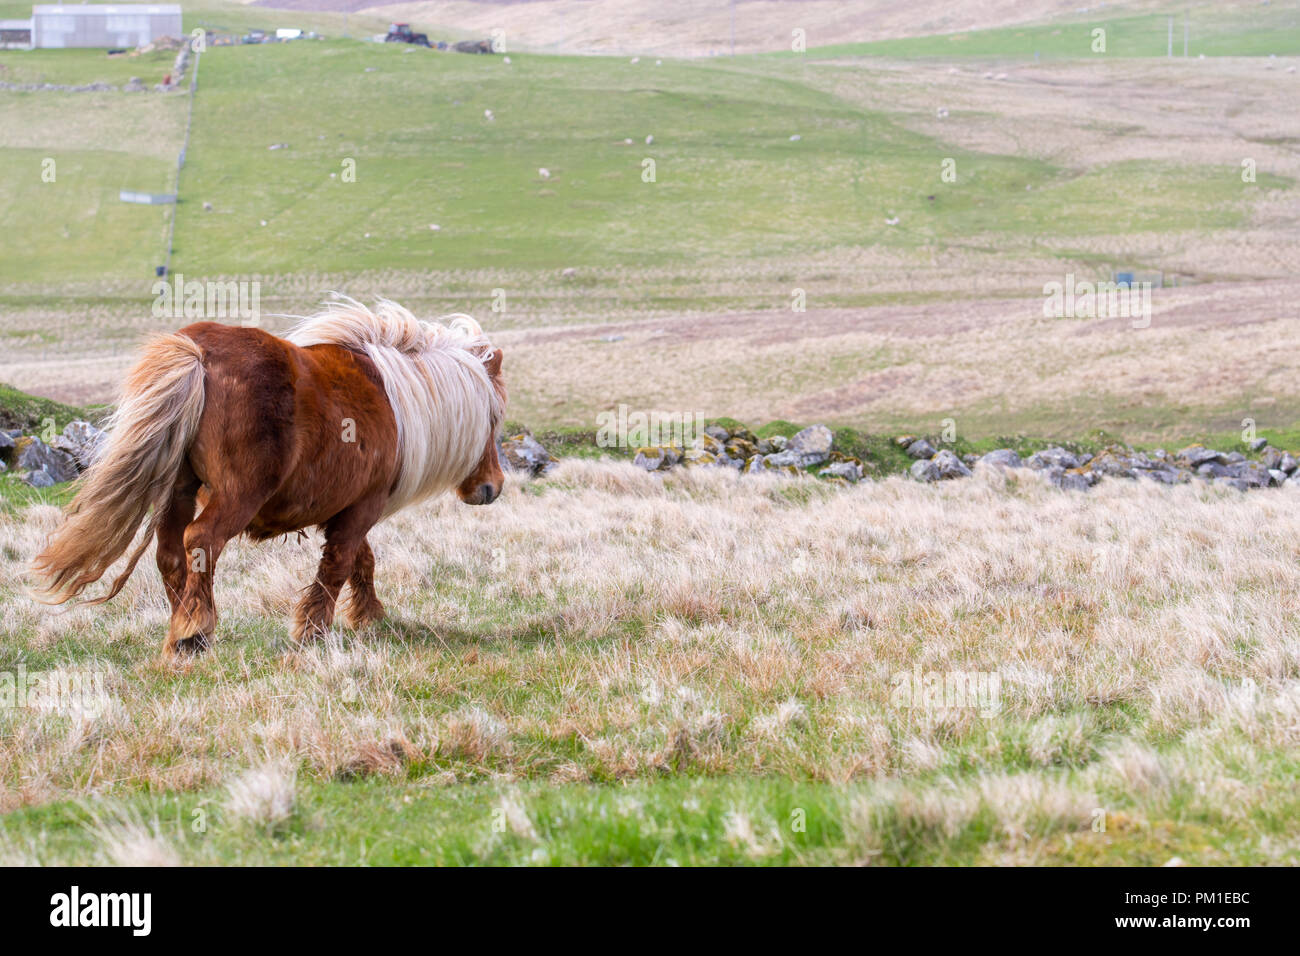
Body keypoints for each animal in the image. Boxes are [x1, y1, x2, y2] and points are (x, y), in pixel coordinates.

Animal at [28, 298, 507, 659]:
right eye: (494, 418)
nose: (491, 488)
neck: (394, 397)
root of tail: (197, 354)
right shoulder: (363, 506)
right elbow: (339, 564)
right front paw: (314, 630)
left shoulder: (346, 507)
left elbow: (361, 561)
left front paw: (369, 617)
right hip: (236, 496)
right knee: (200, 540)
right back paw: (194, 632)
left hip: (180, 491)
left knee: (170, 553)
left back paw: (182, 626)